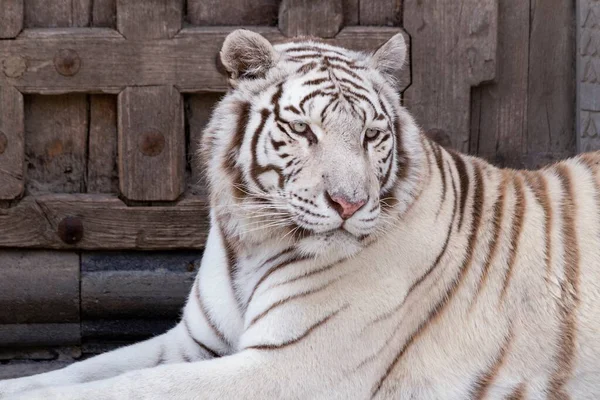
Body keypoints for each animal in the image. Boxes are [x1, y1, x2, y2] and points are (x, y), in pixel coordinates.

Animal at [1, 28, 600, 400]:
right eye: (303, 130)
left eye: (372, 134)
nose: (349, 204)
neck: (250, 241)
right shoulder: (192, 343)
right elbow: (80, 370)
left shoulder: (289, 366)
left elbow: (124, 388)